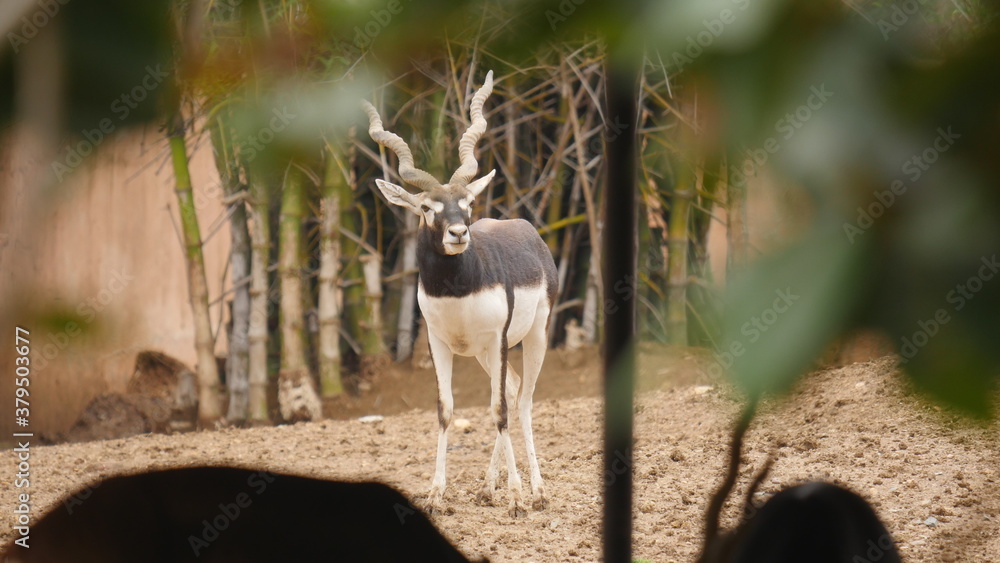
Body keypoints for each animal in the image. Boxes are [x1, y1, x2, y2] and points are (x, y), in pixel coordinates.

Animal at [362, 70, 557, 517]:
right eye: (426, 207)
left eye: (467, 201)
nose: (458, 233)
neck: (457, 290)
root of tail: (528, 229)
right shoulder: (439, 343)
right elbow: (446, 410)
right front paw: (436, 494)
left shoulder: (499, 338)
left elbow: (498, 411)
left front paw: (517, 497)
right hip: (485, 354)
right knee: (511, 390)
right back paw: (488, 487)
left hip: (533, 336)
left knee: (521, 401)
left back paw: (536, 491)